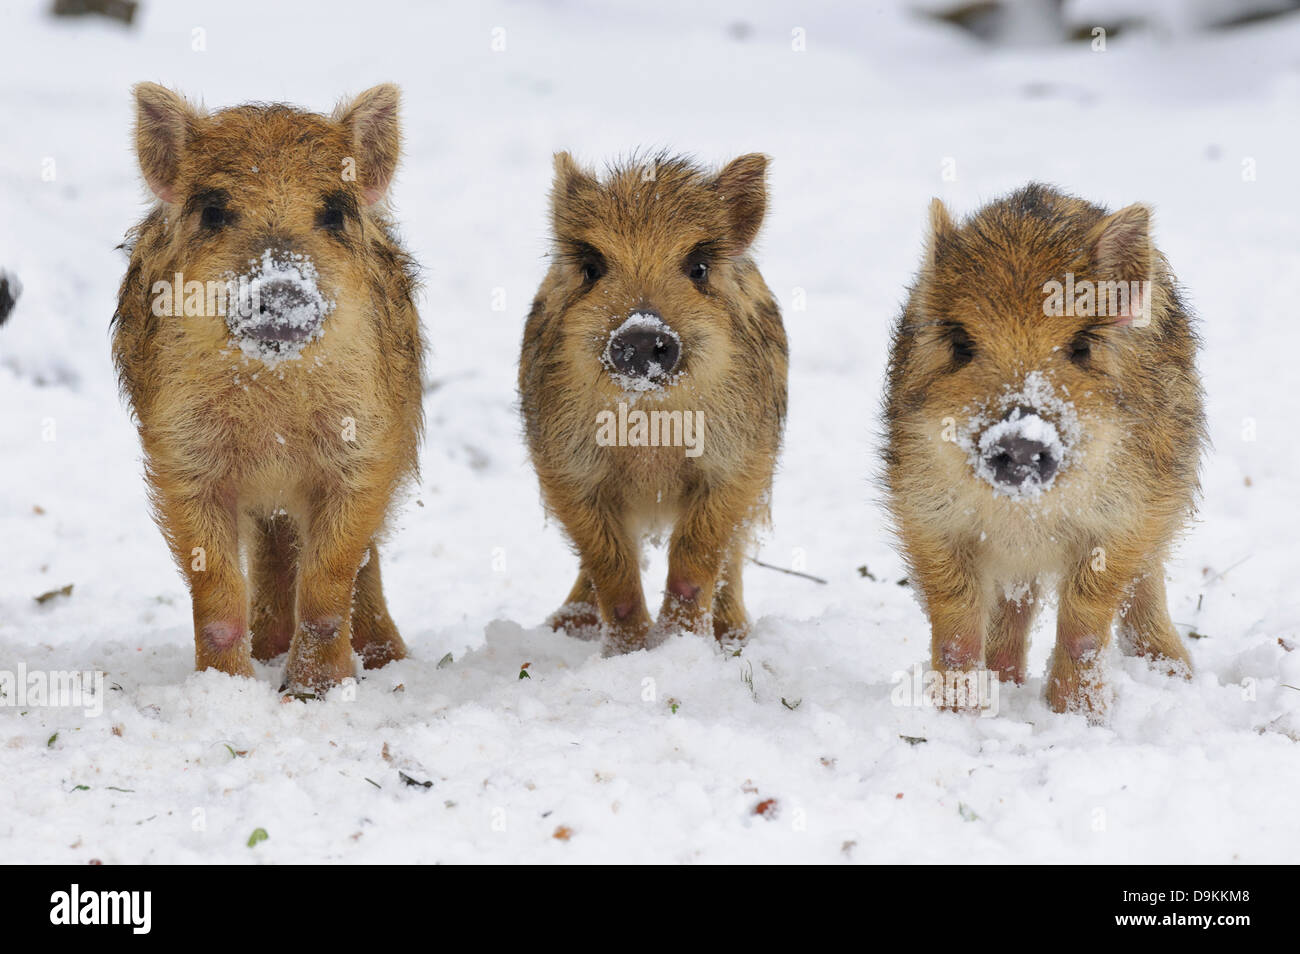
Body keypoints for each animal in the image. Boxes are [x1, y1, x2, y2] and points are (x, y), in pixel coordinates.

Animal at [111, 83, 424, 692]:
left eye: (333, 213)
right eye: (213, 211)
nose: (280, 289)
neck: (271, 414)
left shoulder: (364, 449)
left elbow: (329, 581)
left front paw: (308, 696)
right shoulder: (183, 456)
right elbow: (216, 594)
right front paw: (226, 690)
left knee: (362, 559)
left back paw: (389, 661)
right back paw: (269, 651)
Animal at [519, 152, 788, 654]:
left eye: (698, 267)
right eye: (592, 268)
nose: (642, 333)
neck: (651, 436)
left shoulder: (740, 462)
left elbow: (698, 556)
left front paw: (681, 644)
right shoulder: (566, 468)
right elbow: (611, 565)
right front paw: (629, 653)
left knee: (734, 554)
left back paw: (735, 637)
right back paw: (563, 626)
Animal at [883, 183, 1206, 719]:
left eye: (1081, 346)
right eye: (960, 342)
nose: (1020, 442)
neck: (1024, 515)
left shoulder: (1127, 516)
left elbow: (1085, 622)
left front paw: (1076, 716)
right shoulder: (926, 514)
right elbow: (955, 623)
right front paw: (957, 716)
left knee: (1144, 582)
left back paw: (1177, 675)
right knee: (1017, 605)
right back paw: (1006, 683)